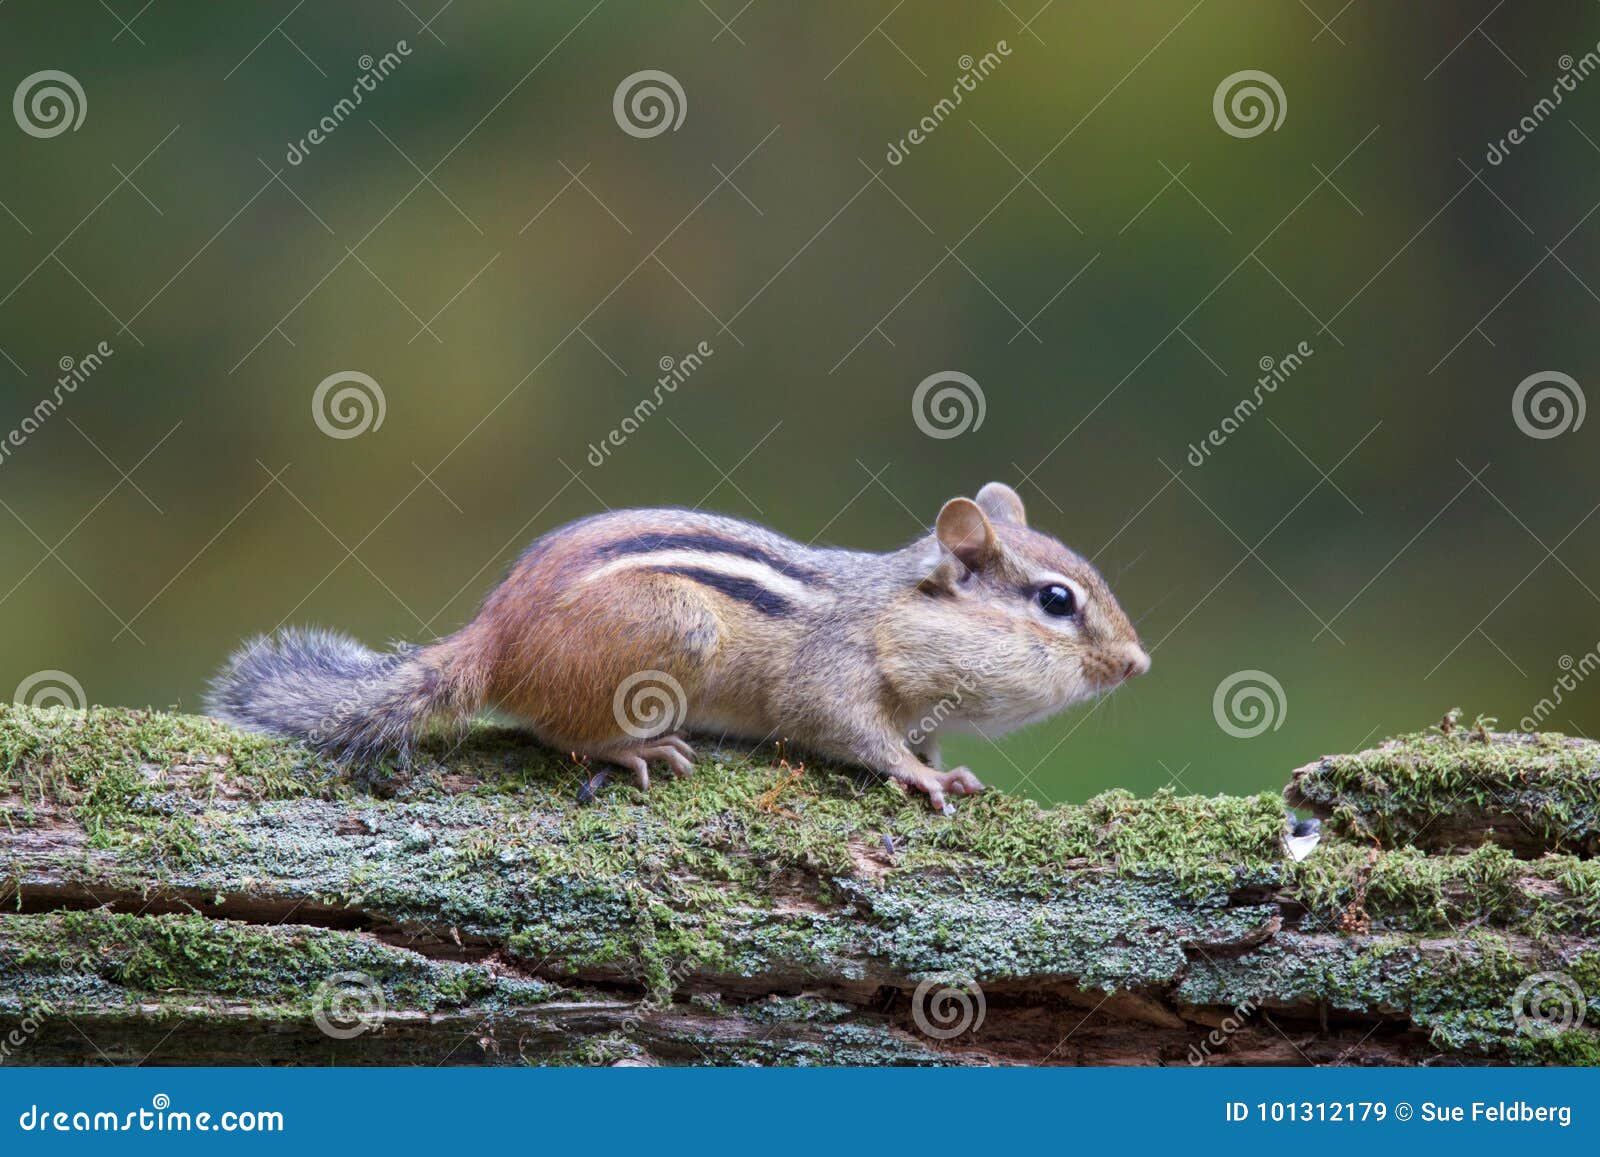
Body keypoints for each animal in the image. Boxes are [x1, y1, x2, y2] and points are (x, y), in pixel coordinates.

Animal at [205, 481, 1149, 811]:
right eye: (1056, 601)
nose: (1138, 663)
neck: (883, 611)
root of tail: (492, 634)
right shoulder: (833, 678)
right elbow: (853, 734)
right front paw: (922, 777)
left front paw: (948, 766)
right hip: (673, 629)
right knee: (554, 729)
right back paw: (633, 749)